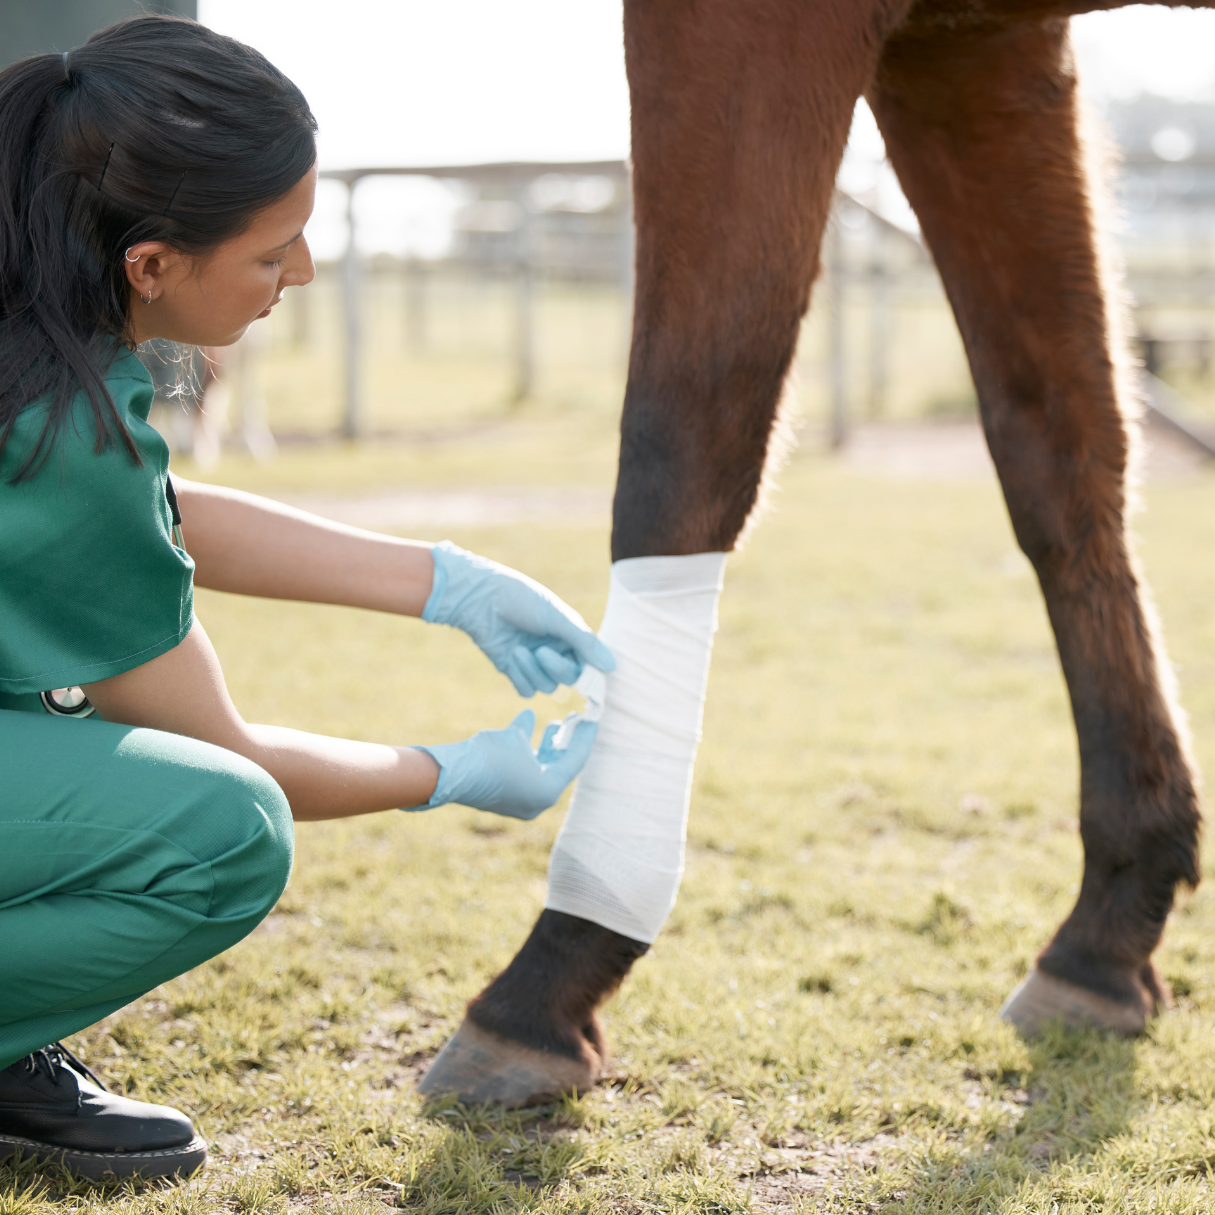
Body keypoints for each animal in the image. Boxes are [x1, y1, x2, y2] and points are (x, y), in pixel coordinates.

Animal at [419, 0, 1209, 1105]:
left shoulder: (742, 28)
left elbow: (684, 444)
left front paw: (550, 975)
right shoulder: (969, 48)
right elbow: (1059, 448)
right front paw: (1107, 930)